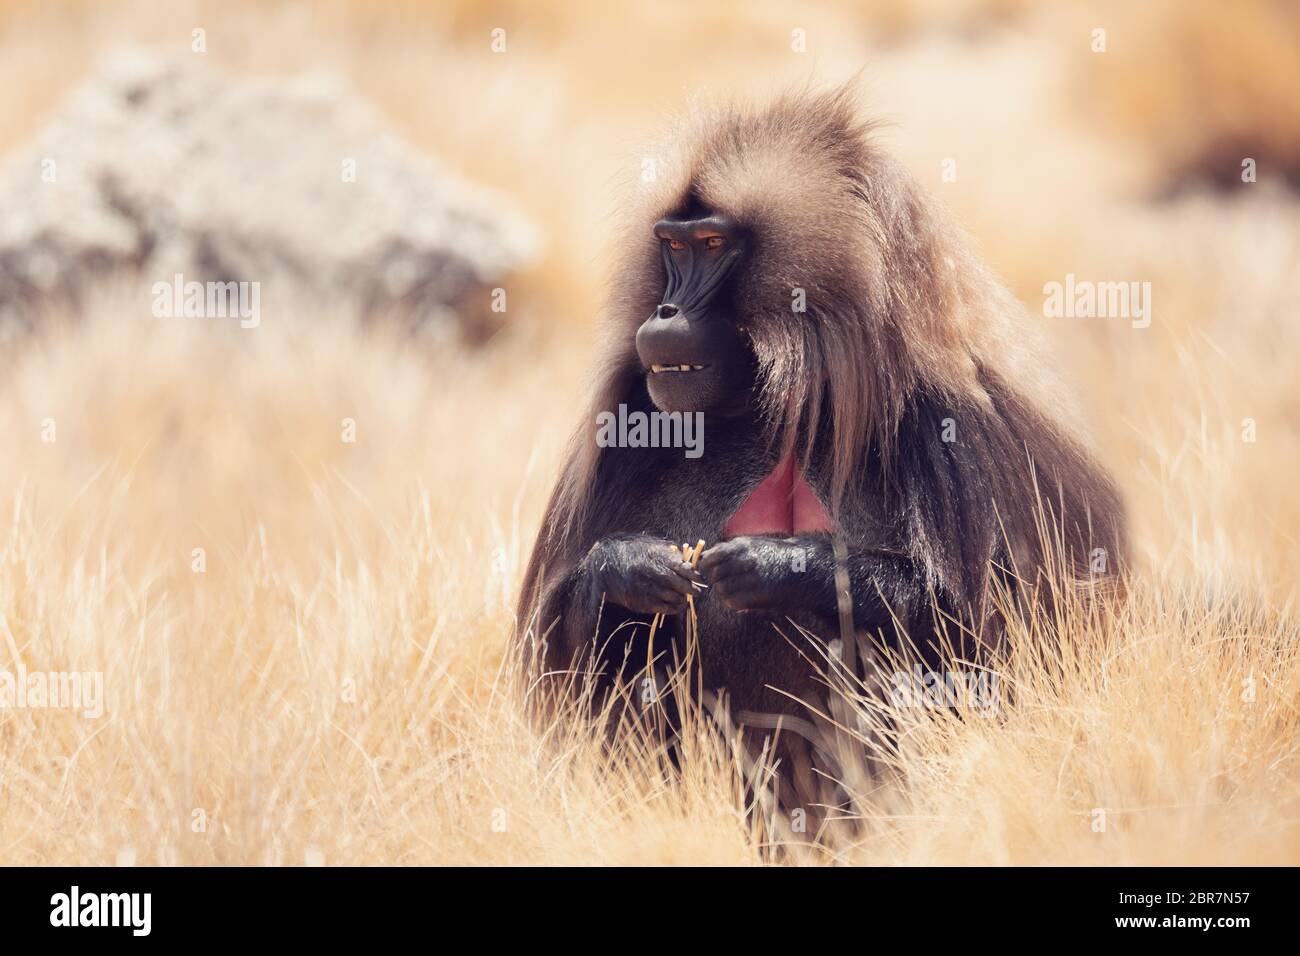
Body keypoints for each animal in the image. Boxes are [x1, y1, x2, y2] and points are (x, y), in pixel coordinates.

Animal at [515, 87, 1127, 798]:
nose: (665, 313)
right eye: (671, 246)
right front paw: (629, 568)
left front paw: (780, 566)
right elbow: (557, 654)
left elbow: (987, 623)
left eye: (713, 243)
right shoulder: (627, 417)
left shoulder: (955, 425)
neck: (769, 404)